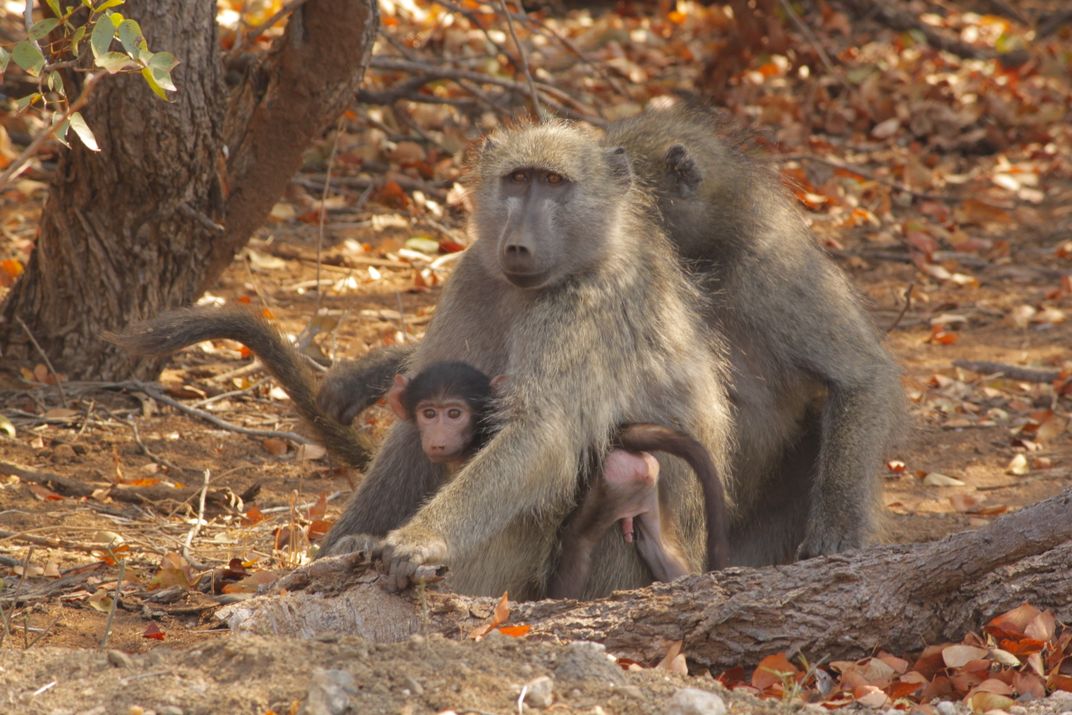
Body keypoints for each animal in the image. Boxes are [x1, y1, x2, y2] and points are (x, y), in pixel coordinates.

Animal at [316, 104, 905, 569]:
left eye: (554, 184)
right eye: (517, 180)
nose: (519, 244)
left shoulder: (761, 269)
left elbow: (544, 433)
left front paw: (423, 539)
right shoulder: (474, 277)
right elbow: (417, 414)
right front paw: (343, 543)